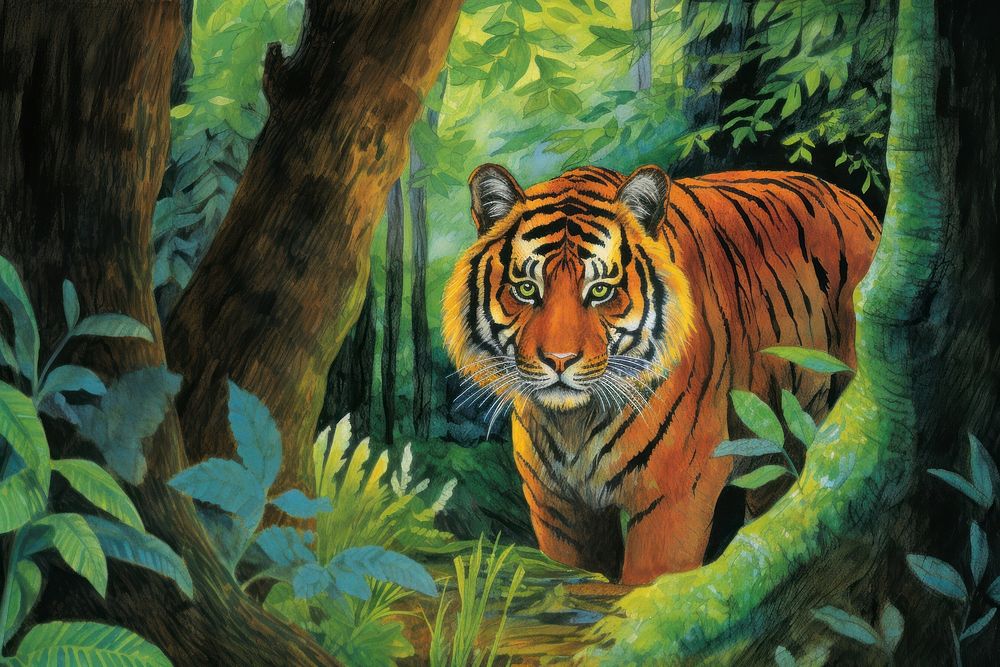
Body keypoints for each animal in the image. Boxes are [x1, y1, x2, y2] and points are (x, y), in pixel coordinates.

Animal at [442, 163, 880, 584]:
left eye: (600, 290)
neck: (573, 423)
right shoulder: (558, 507)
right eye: (526, 289)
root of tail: (857, 205)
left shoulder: (676, 495)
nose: (560, 360)